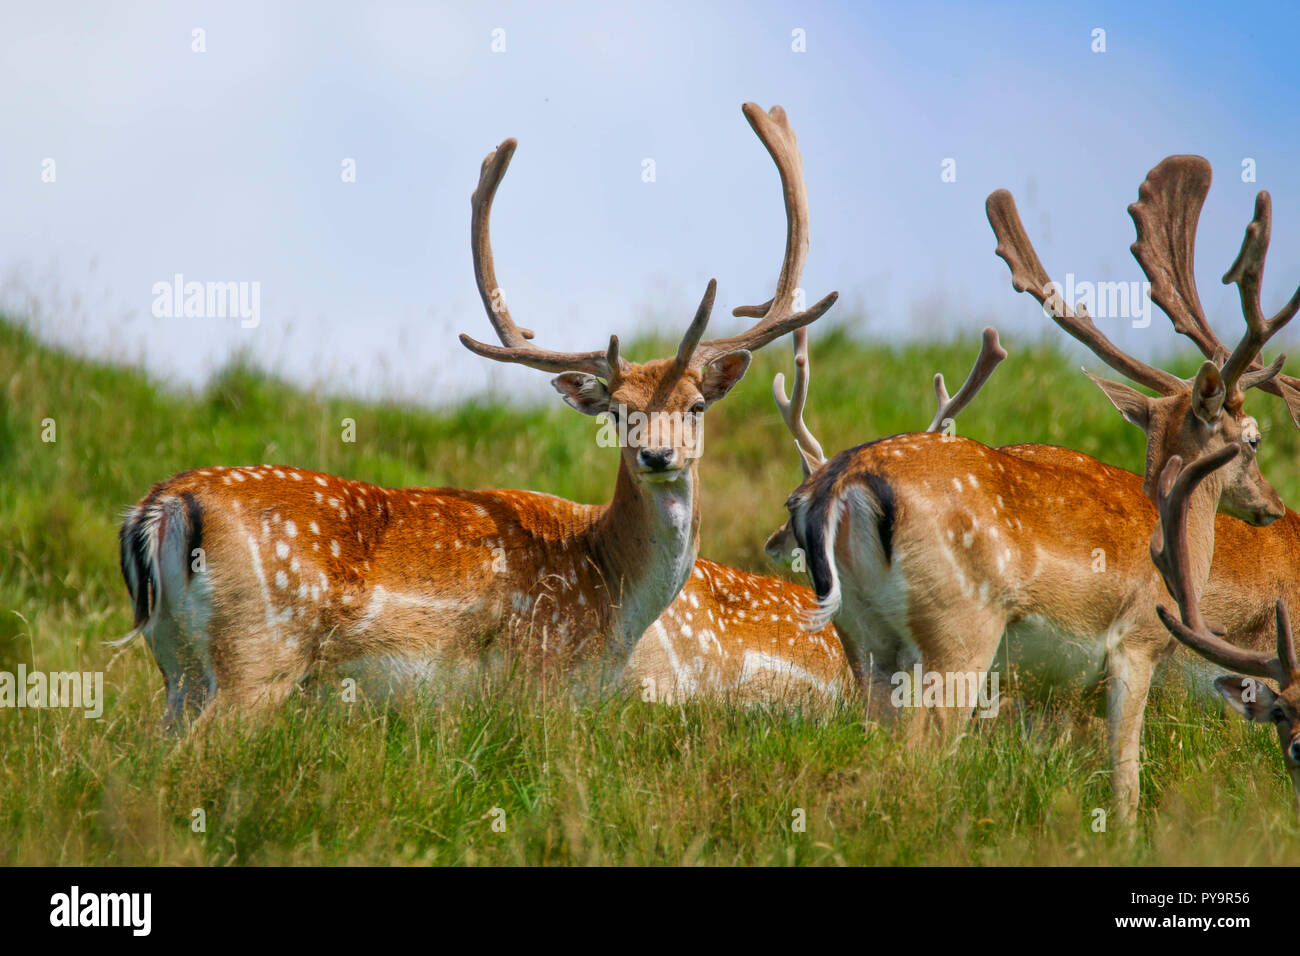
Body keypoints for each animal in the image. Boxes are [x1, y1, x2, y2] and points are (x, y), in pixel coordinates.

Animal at [117, 102, 836, 727]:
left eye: (695, 405)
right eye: (617, 412)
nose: (657, 456)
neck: (613, 600)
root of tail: (160, 508)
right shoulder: (539, 683)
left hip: (179, 671)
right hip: (255, 656)